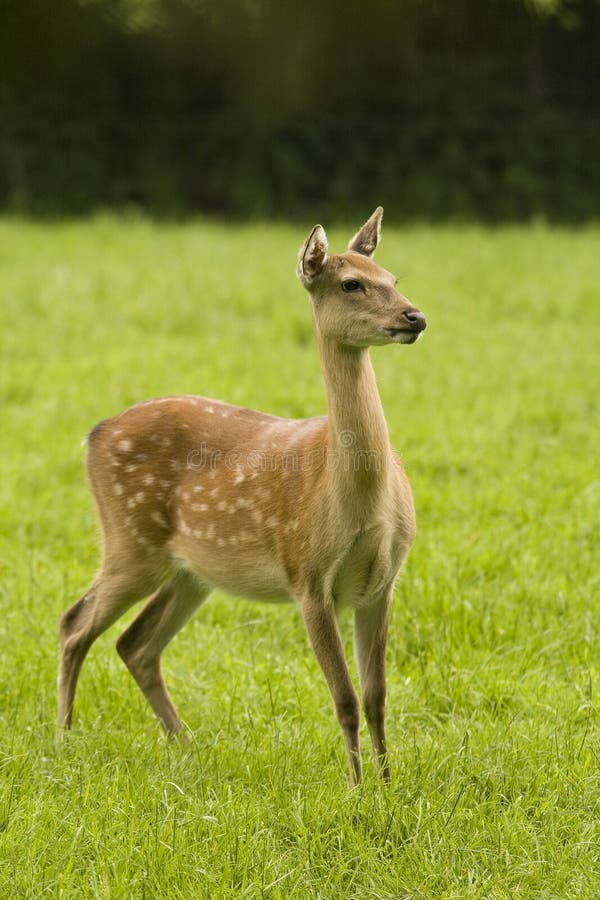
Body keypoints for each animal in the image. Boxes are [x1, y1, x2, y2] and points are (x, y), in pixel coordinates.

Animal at [57, 207, 426, 785]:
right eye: (351, 283)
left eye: (391, 277)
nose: (415, 317)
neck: (358, 499)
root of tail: (93, 434)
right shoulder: (306, 575)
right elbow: (344, 698)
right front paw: (356, 787)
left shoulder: (383, 581)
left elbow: (377, 696)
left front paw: (390, 784)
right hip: (130, 540)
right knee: (74, 624)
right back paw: (63, 741)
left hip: (191, 571)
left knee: (134, 643)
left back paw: (188, 748)